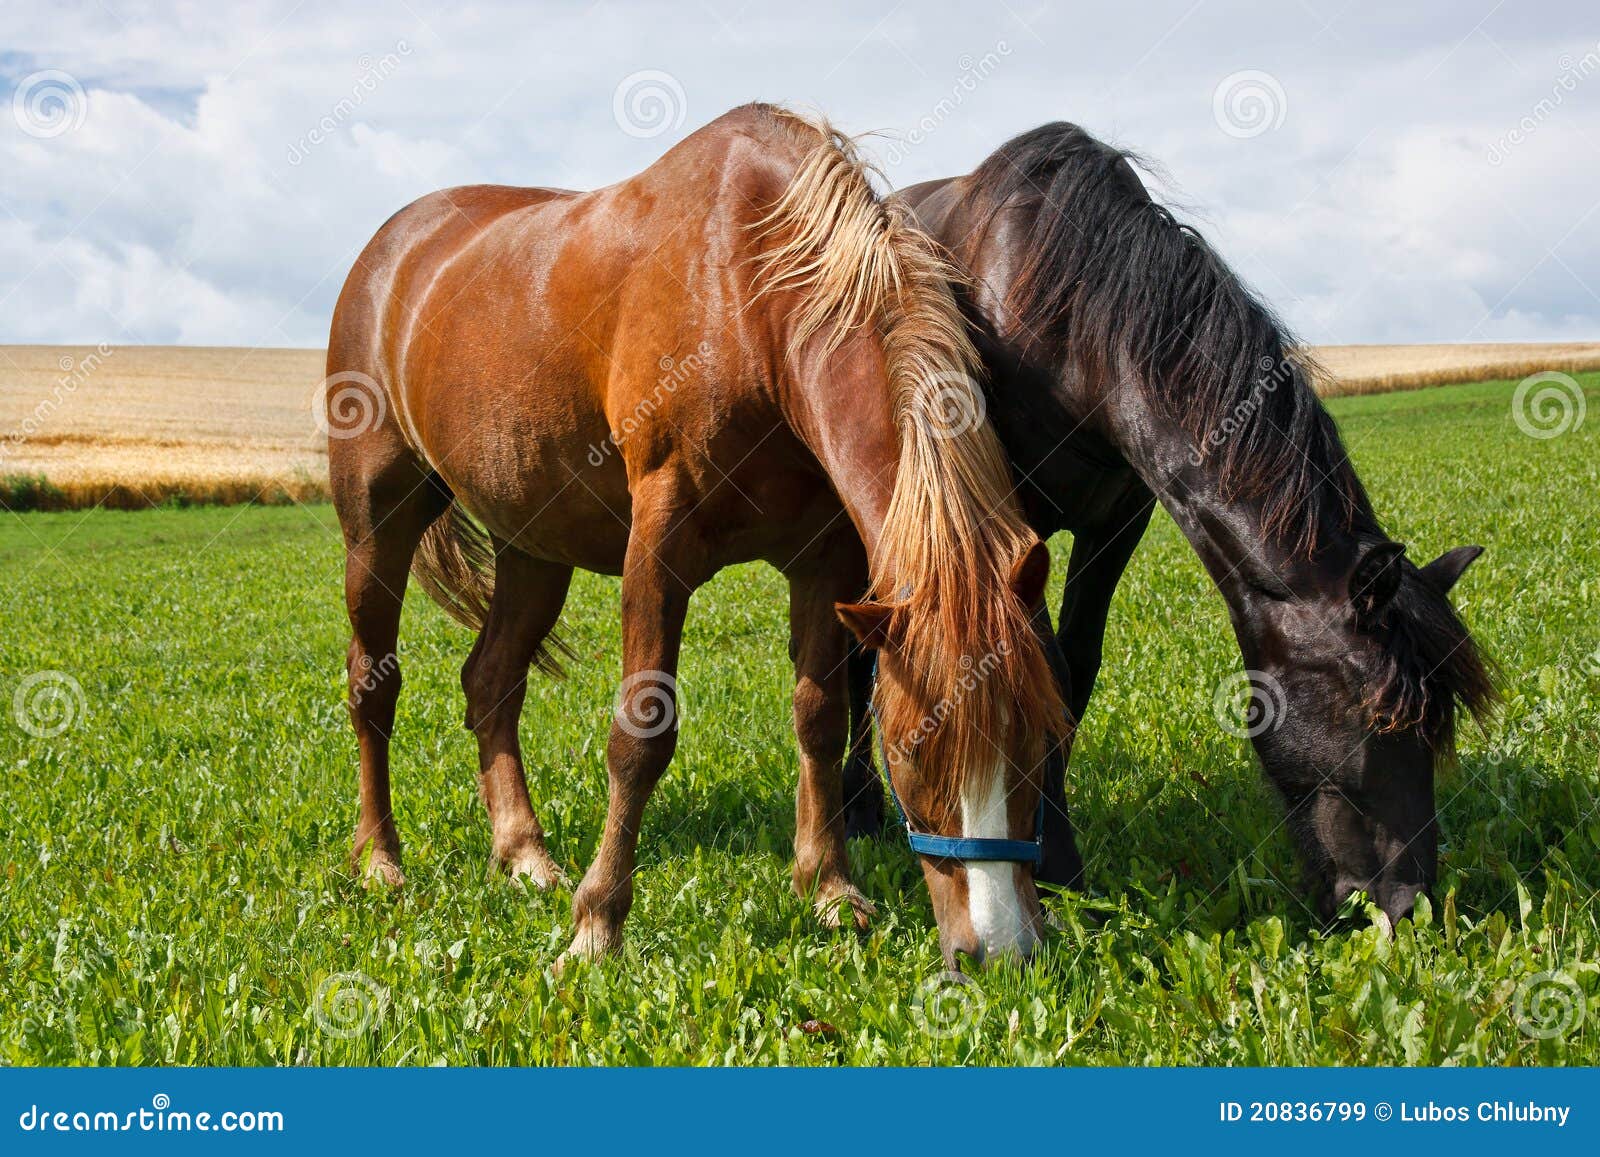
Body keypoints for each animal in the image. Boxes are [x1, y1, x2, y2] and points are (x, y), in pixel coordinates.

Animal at [324, 104, 1066, 968]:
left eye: (1043, 740)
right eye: (911, 748)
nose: (1004, 949)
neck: (749, 293)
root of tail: (390, 248)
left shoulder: (825, 562)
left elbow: (818, 717)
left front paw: (830, 887)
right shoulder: (659, 548)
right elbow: (641, 736)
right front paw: (598, 923)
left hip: (534, 548)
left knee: (491, 681)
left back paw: (523, 852)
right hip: (377, 525)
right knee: (373, 684)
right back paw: (381, 857)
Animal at [842, 122, 1496, 925]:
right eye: (1385, 720)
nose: (1407, 905)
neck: (1069, 324)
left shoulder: (1121, 520)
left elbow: (1073, 670)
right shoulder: (1005, 534)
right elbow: (1032, 663)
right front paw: (1056, 866)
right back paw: (859, 808)